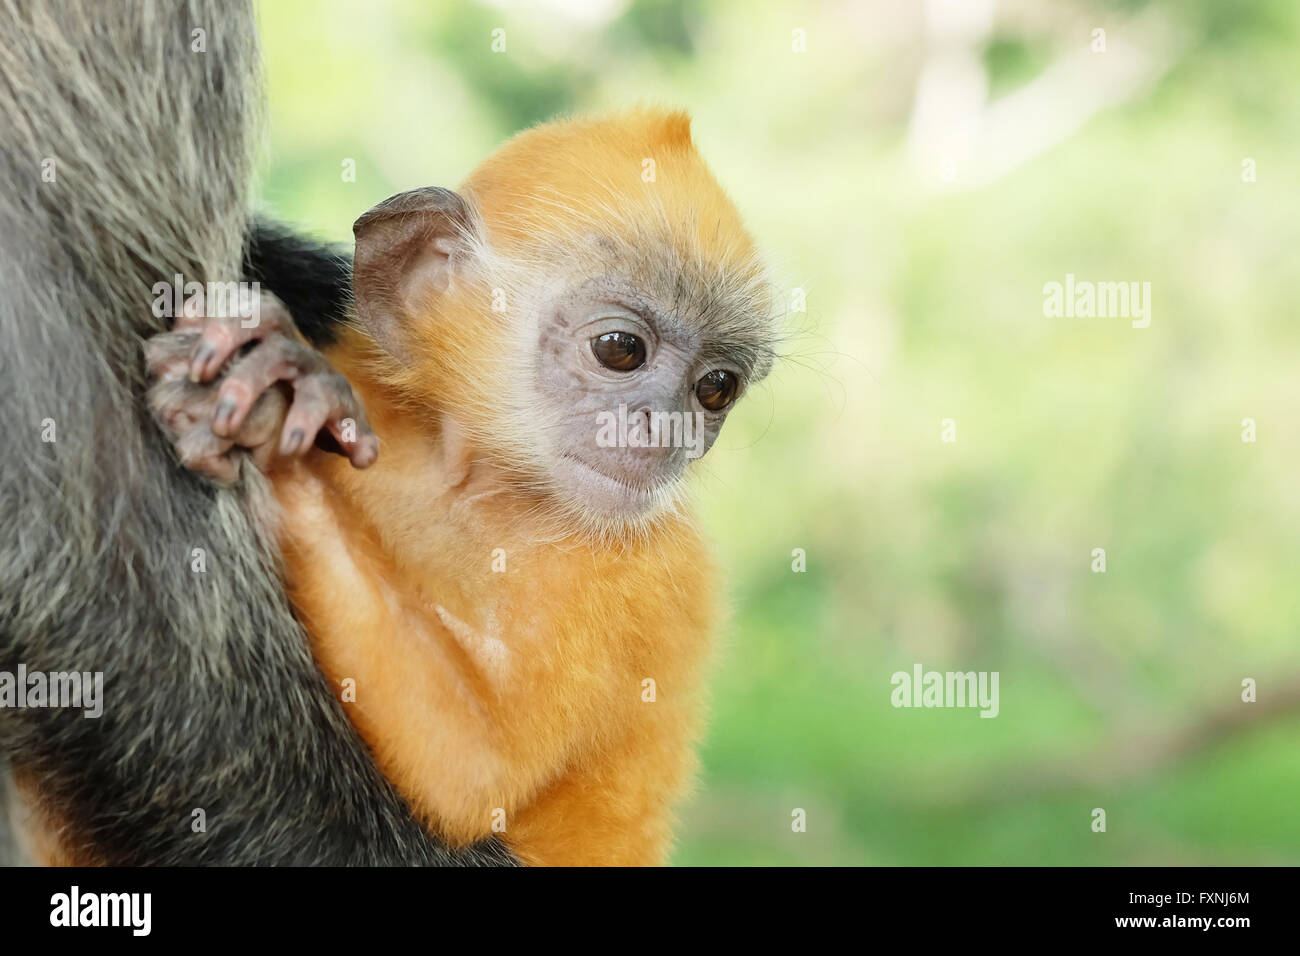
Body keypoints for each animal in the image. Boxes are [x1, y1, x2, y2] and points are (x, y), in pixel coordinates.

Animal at [145, 108, 778, 865]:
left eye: (715, 389)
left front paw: (283, 415)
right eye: (621, 349)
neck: (473, 486)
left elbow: (470, 769)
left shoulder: (655, 574)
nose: (669, 428)